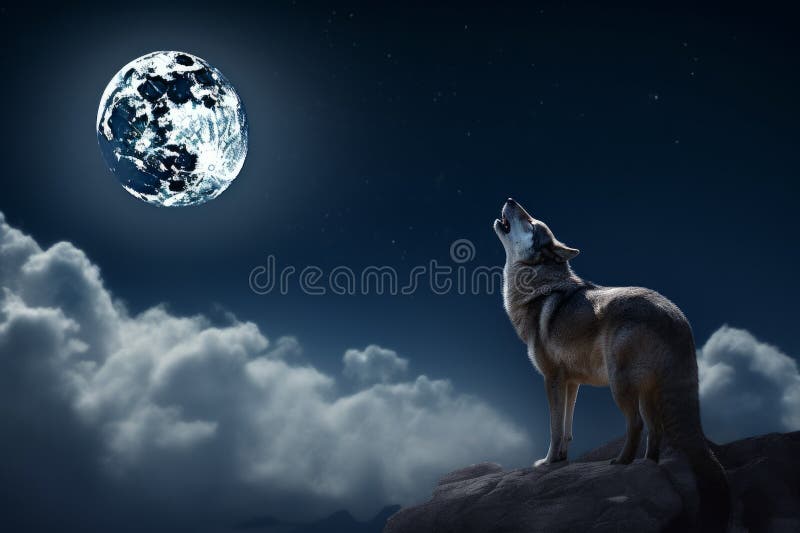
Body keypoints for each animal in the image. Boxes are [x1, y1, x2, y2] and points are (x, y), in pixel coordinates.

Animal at [494, 198, 729, 531]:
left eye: (530, 221)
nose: (511, 200)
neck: (538, 287)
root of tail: (677, 316)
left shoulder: (552, 379)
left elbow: (554, 428)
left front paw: (547, 462)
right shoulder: (572, 383)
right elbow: (567, 427)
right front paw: (561, 459)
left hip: (621, 387)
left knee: (637, 424)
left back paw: (621, 462)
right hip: (647, 393)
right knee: (655, 429)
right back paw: (646, 463)